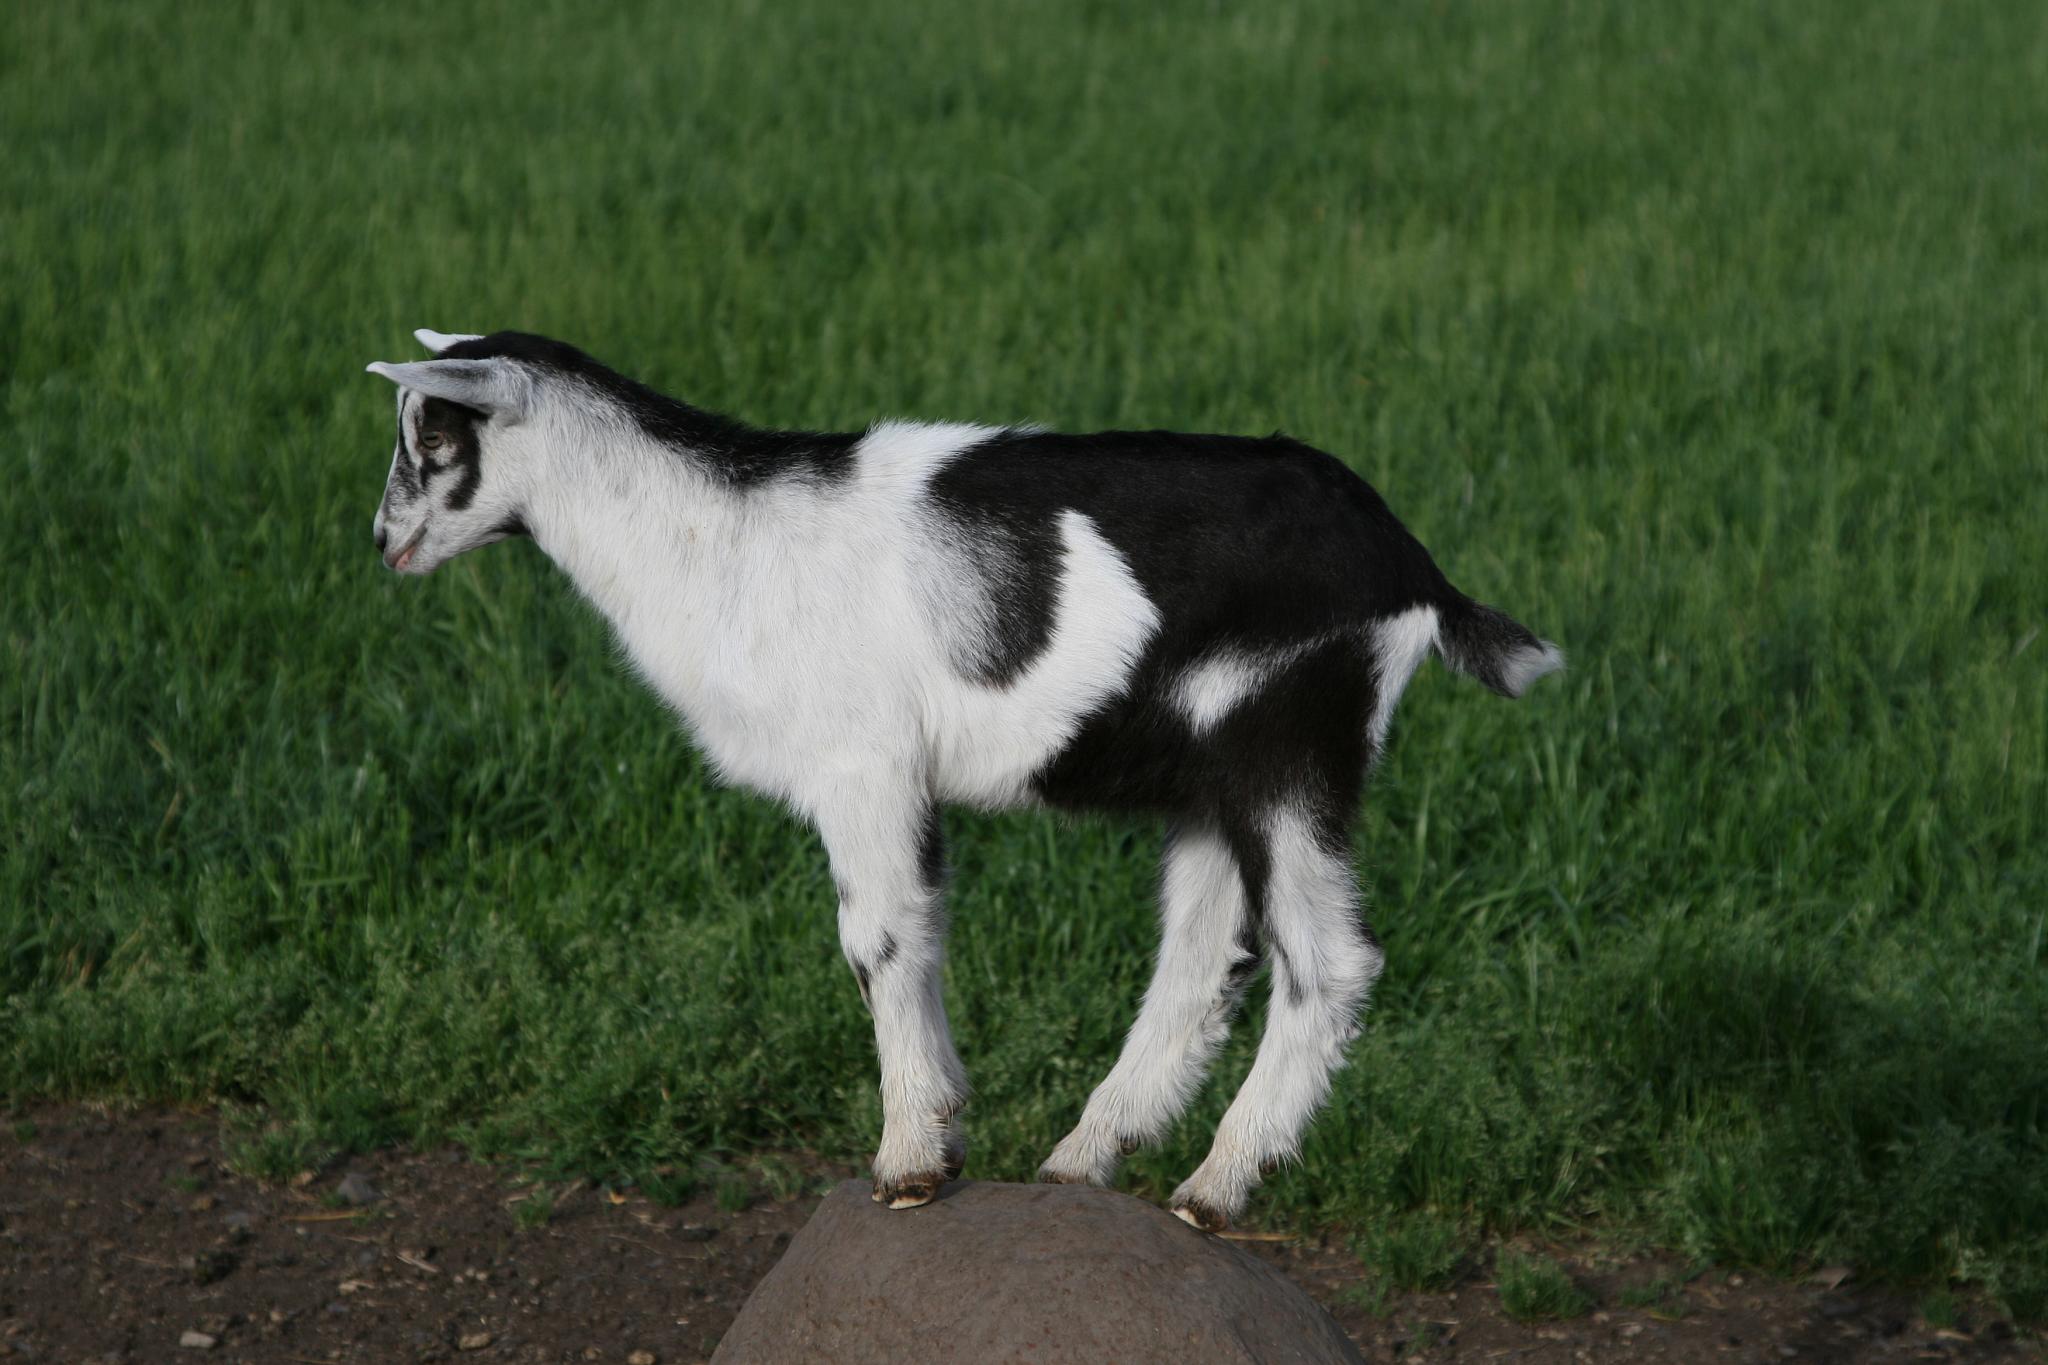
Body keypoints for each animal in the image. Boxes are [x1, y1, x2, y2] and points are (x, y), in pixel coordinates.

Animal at [365, 328, 1563, 1230]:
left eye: (434, 433)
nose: (381, 542)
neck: (716, 538)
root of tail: (1409, 565)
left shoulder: (862, 765)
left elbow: (879, 941)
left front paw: (908, 1163)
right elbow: (920, 930)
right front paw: (942, 1139)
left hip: (1289, 744)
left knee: (1329, 962)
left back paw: (1215, 1187)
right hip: (1213, 784)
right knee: (1202, 961)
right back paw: (1083, 1158)